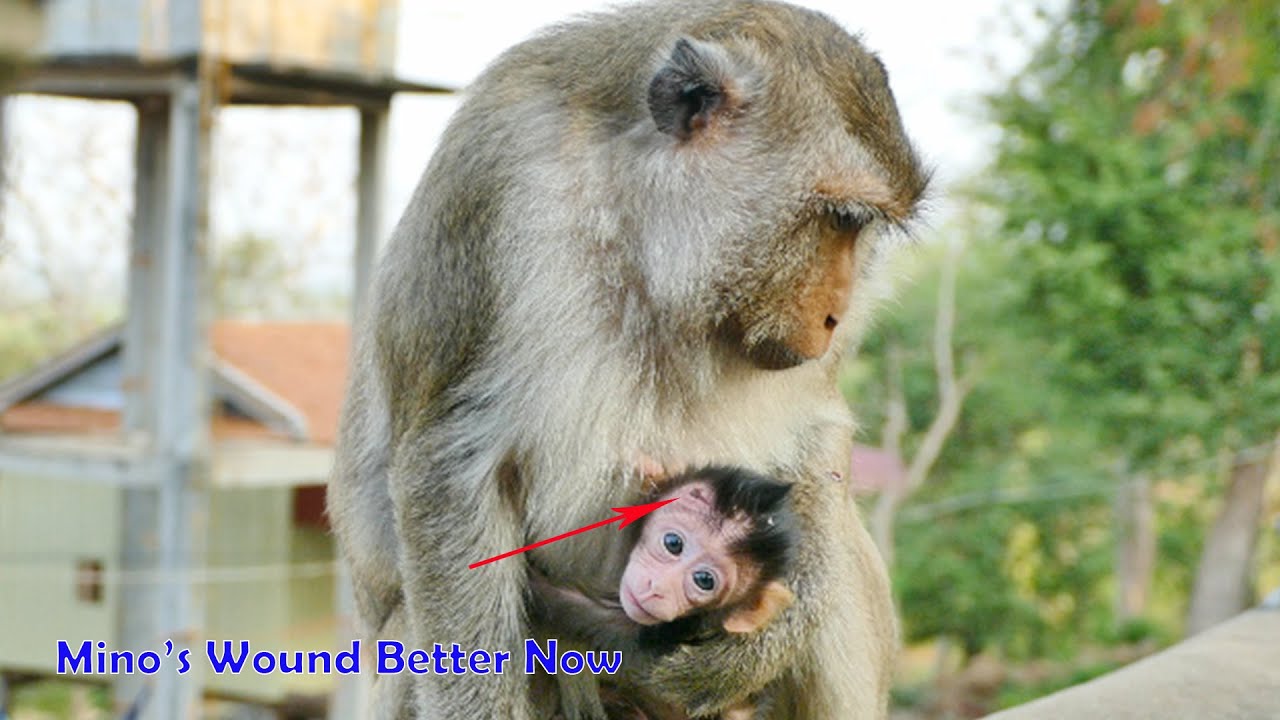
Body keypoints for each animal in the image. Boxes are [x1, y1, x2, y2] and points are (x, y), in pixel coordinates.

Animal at [327, 1, 929, 718]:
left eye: (859, 229)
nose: (837, 313)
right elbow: (447, 464)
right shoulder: (493, 178)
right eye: (839, 218)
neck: (647, 247)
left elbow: (818, 434)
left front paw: (759, 641)